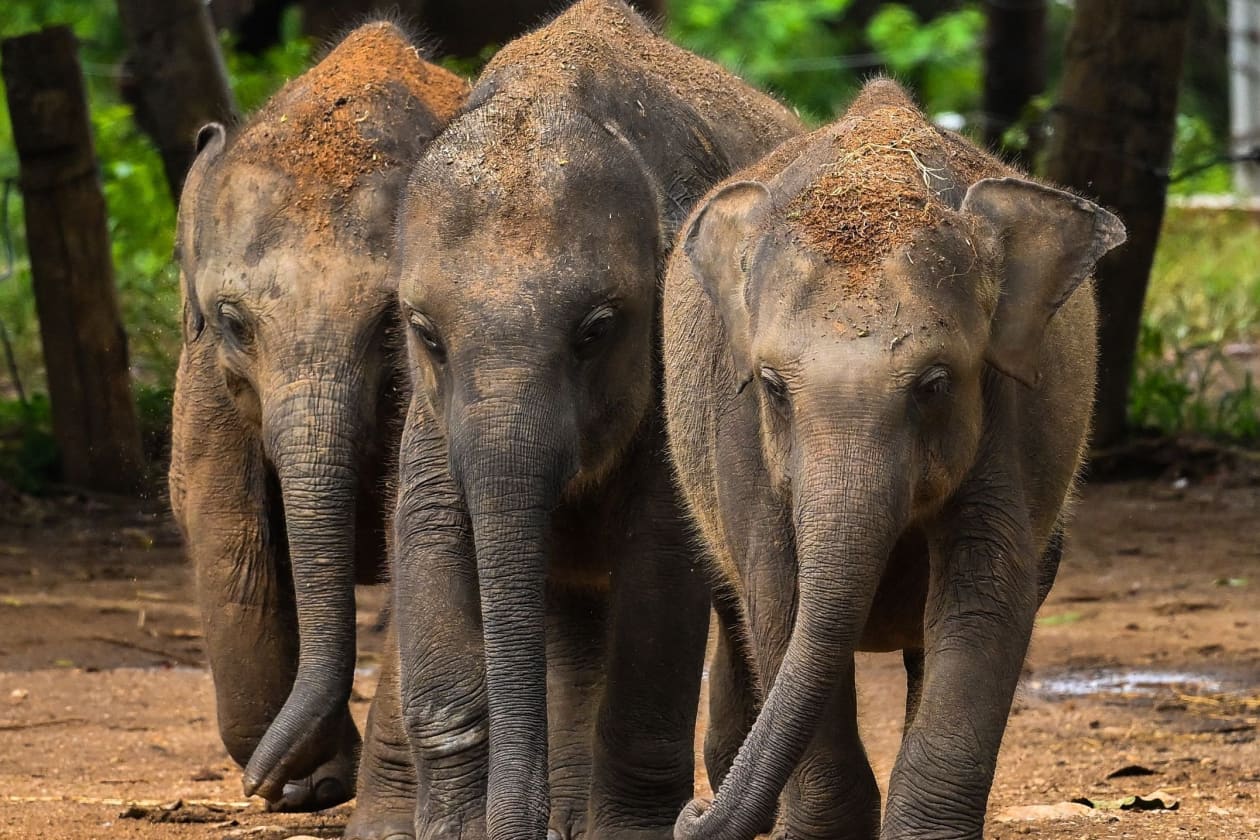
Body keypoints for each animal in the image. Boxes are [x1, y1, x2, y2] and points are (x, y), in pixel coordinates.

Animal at [167, 22, 467, 818]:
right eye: (233, 321)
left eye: (391, 324)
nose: (259, 785)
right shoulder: (206, 375)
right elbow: (226, 535)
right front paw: (312, 782)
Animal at [662, 79, 1127, 839]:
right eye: (772, 386)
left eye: (934, 384)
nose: (692, 810)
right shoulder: (739, 437)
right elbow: (780, 599)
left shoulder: (1005, 418)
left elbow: (984, 598)